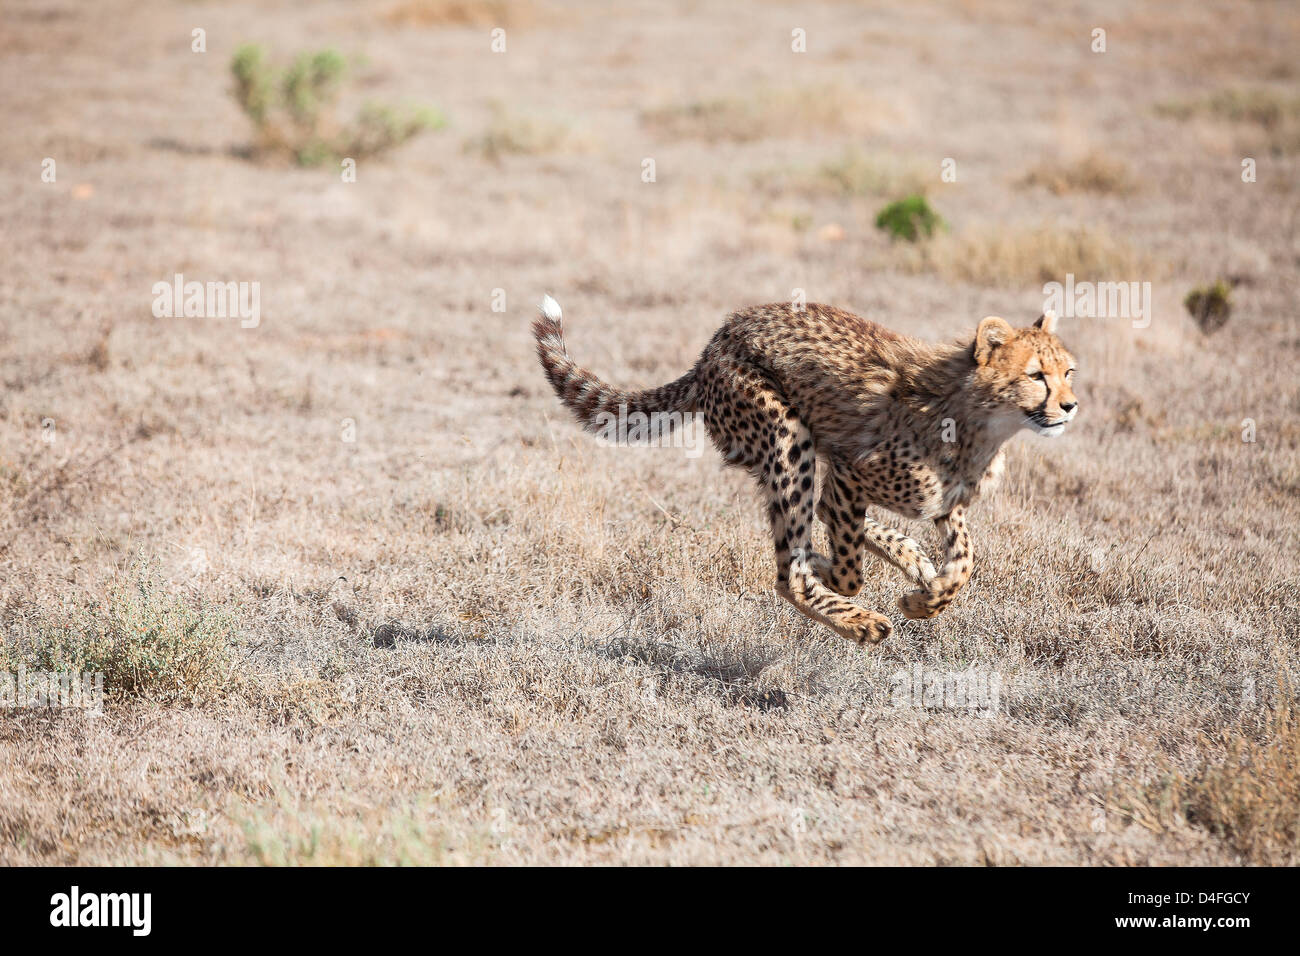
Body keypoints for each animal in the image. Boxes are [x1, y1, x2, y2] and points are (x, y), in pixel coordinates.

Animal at [533, 296, 1078, 646]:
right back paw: (857, 616)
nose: (1071, 406)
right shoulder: (850, 473)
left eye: (1068, 371)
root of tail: (717, 339)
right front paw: (848, 583)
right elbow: (849, 571)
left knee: (818, 524)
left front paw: (927, 598)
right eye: (1036, 375)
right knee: (788, 568)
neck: (979, 421)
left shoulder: (942, 501)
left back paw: (909, 560)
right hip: (786, 434)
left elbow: (964, 561)